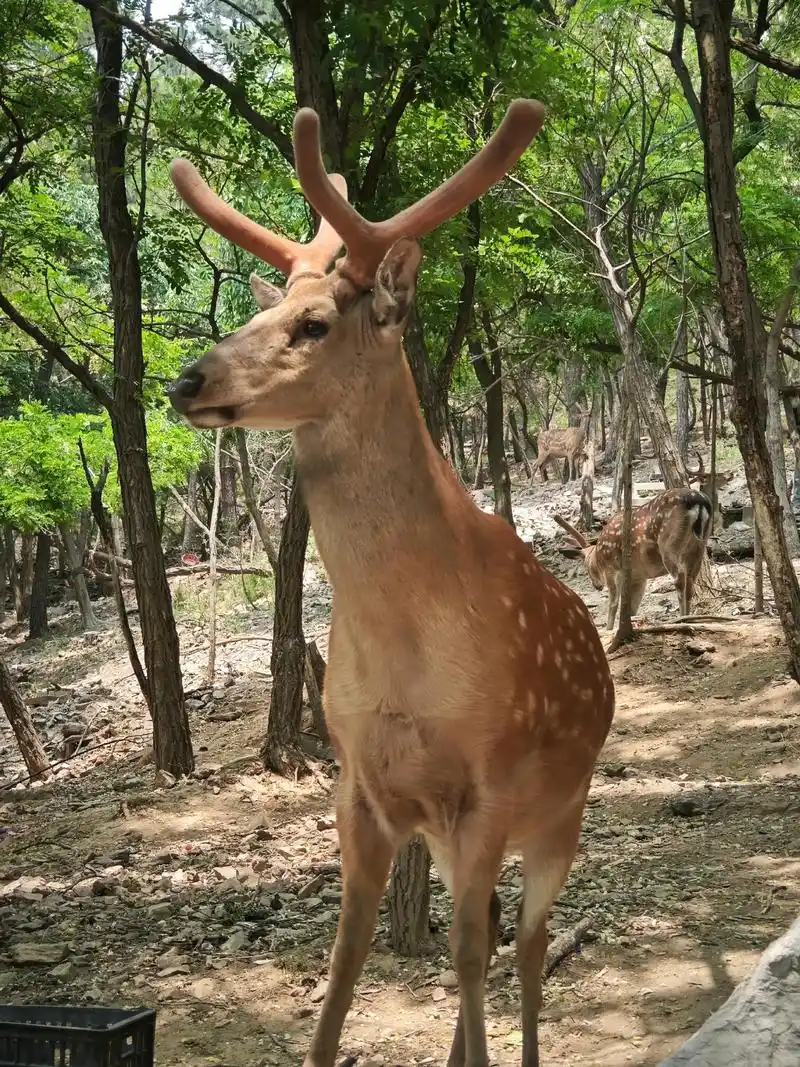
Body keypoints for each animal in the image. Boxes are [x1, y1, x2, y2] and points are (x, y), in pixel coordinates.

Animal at [167, 100, 615, 1067]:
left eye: (315, 325)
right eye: (267, 309)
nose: (187, 378)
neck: (407, 645)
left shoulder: (488, 785)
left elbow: (471, 954)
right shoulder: (362, 785)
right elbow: (346, 957)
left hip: (562, 811)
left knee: (525, 944)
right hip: (462, 834)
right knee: (496, 932)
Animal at [554, 486, 713, 631]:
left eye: (586, 567)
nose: (596, 586)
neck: (598, 557)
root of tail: (700, 502)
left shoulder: (612, 570)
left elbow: (613, 604)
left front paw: (609, 629)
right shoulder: (639, 577)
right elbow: (632, 608)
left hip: (669, 545)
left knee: (679, 580)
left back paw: (681, 618)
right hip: (699, 548)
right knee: (690, 583)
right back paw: (690, 618)